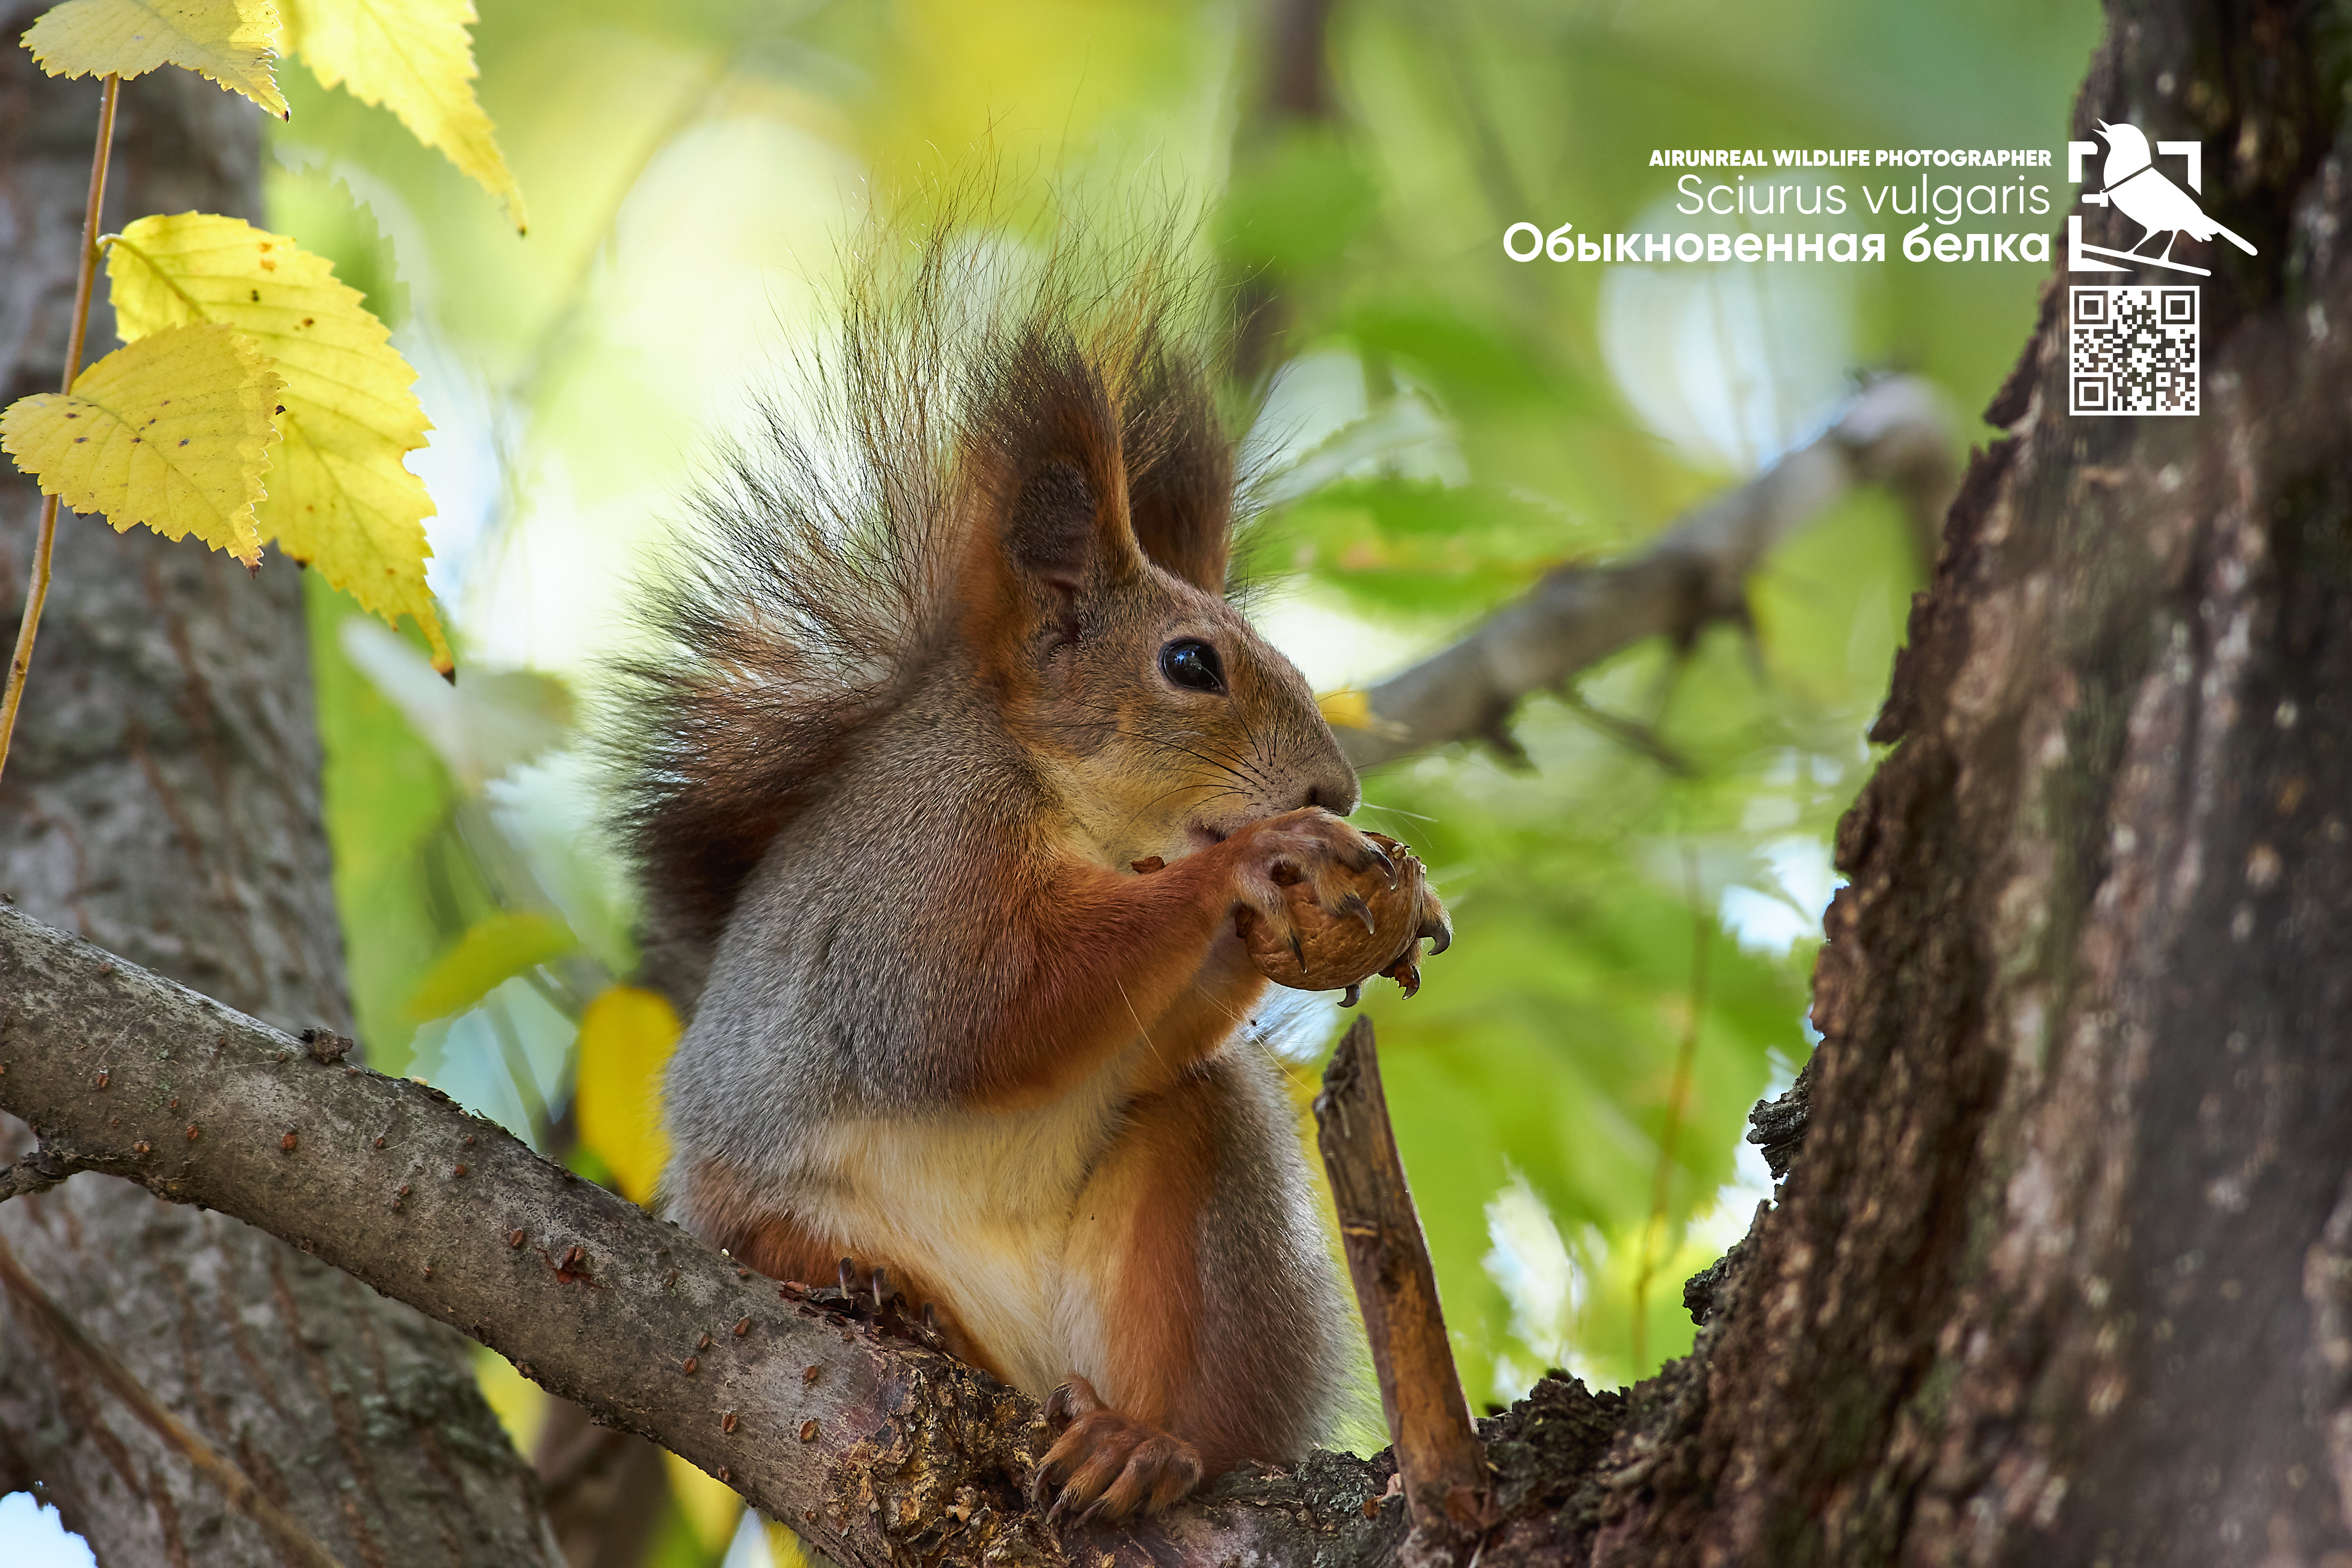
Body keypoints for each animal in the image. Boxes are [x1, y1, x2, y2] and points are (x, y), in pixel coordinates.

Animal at [607, 232, 1439, 1523]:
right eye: (1190, 664)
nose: (1336, 793)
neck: (1075, 809)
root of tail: (1031, 1367)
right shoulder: (925, 864)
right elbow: (980, 1011)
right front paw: (1260, 864)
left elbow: (1127, 1037)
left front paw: (1375, 905)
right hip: (761, 1205)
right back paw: (888, 1302)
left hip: (1185, 1226)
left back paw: (1142, 1444)